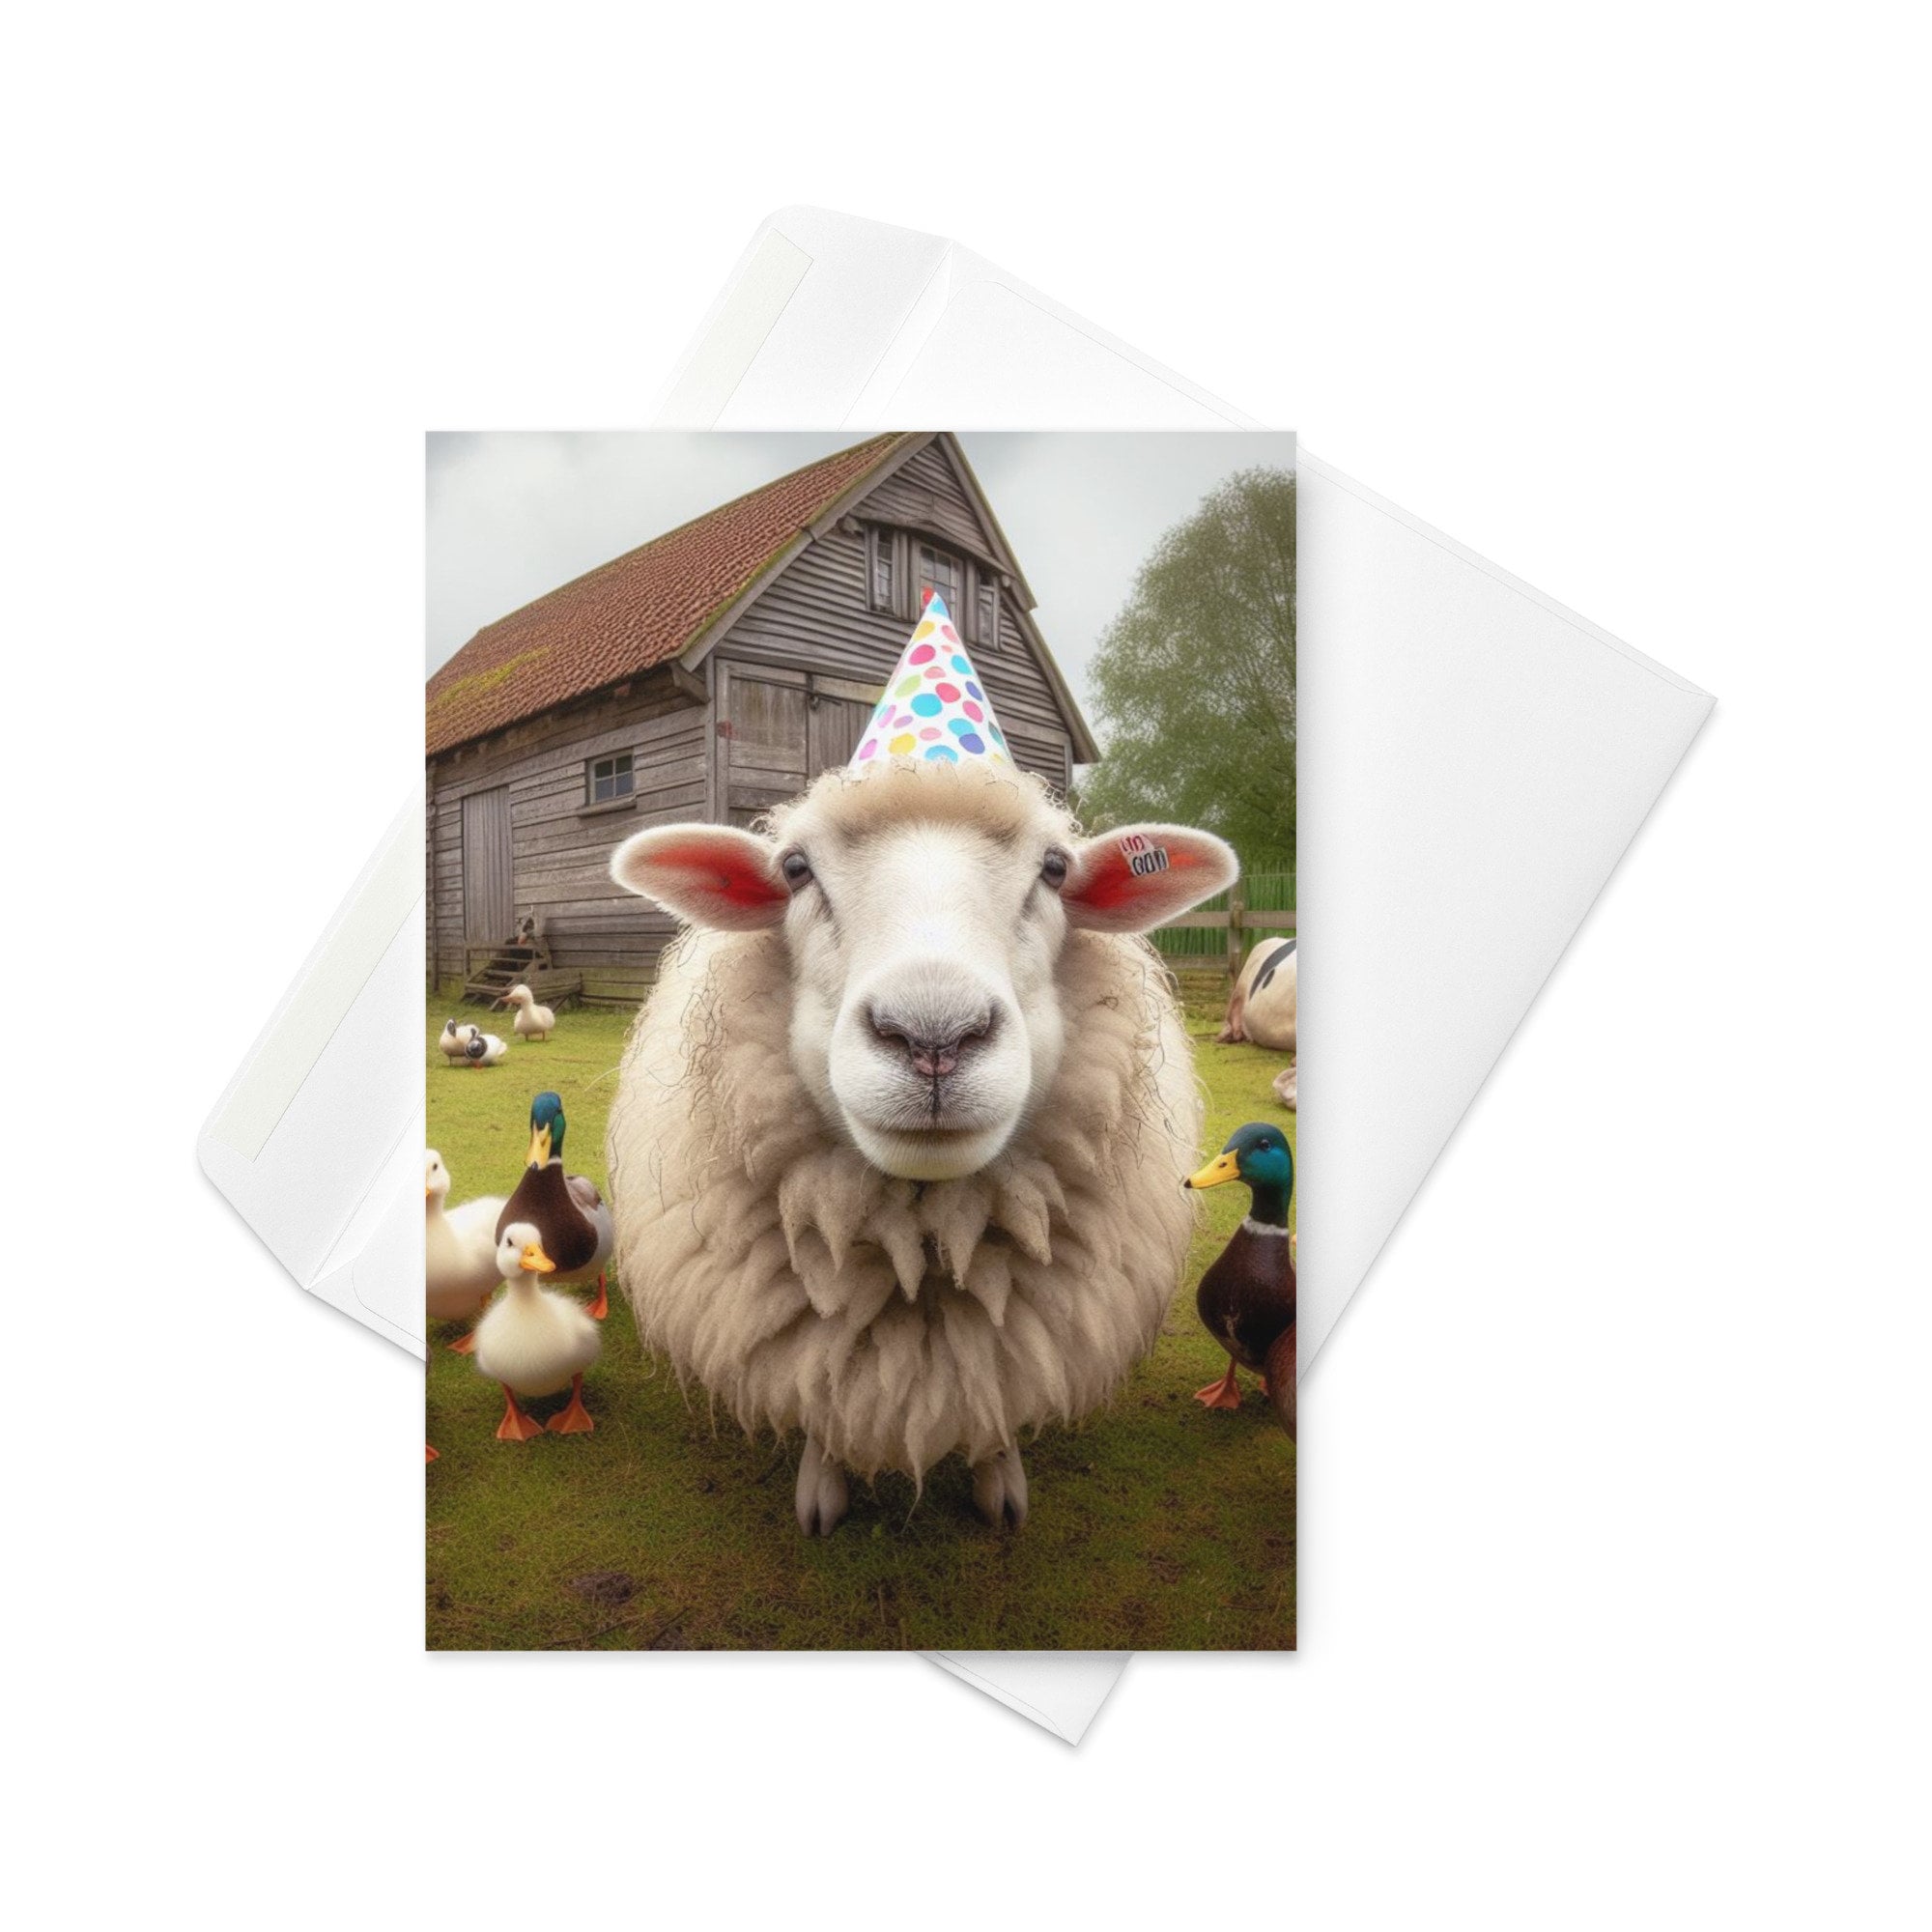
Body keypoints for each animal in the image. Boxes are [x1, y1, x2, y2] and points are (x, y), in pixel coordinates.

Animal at [606, 758, 1238, 1535]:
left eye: (1055, 868)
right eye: (795, 868)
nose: (934, 1037)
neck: (925, 1257)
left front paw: (1001, 1485)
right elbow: (821, 1398)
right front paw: (821, 1490)